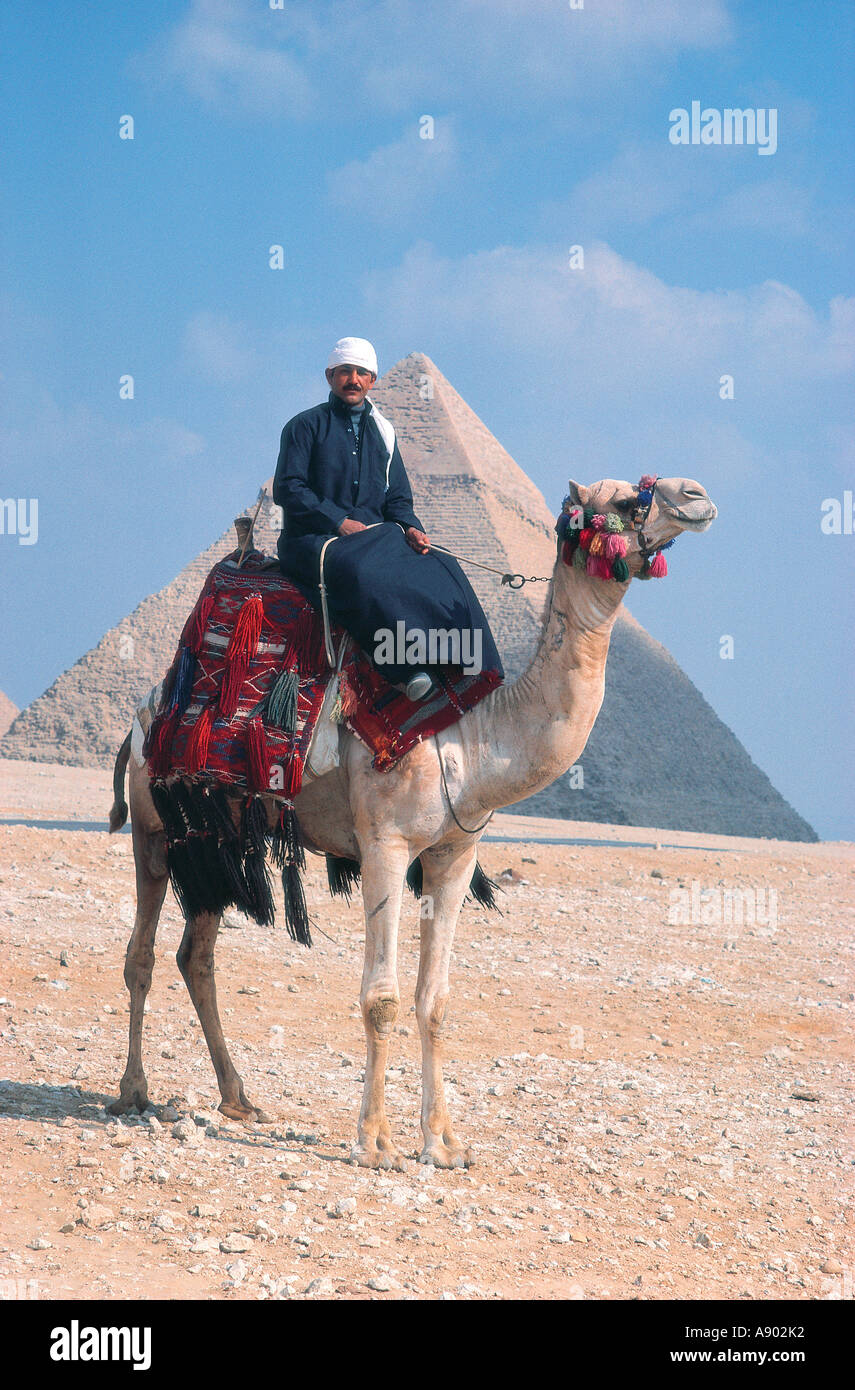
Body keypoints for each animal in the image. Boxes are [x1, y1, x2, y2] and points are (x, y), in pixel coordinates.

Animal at [108, 475, 716, 1169]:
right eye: (621, 500)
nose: (695, 495)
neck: (468, 738)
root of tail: (145, 714)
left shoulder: (453, 854)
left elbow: (436, 1001)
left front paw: (444, 1142)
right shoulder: (385, 845)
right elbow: (382, 999)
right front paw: (375, 1141)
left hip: (218, 831)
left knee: (197, 956)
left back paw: (238, 1097)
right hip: (155, 827)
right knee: (143, 955)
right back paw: (133, 1092)